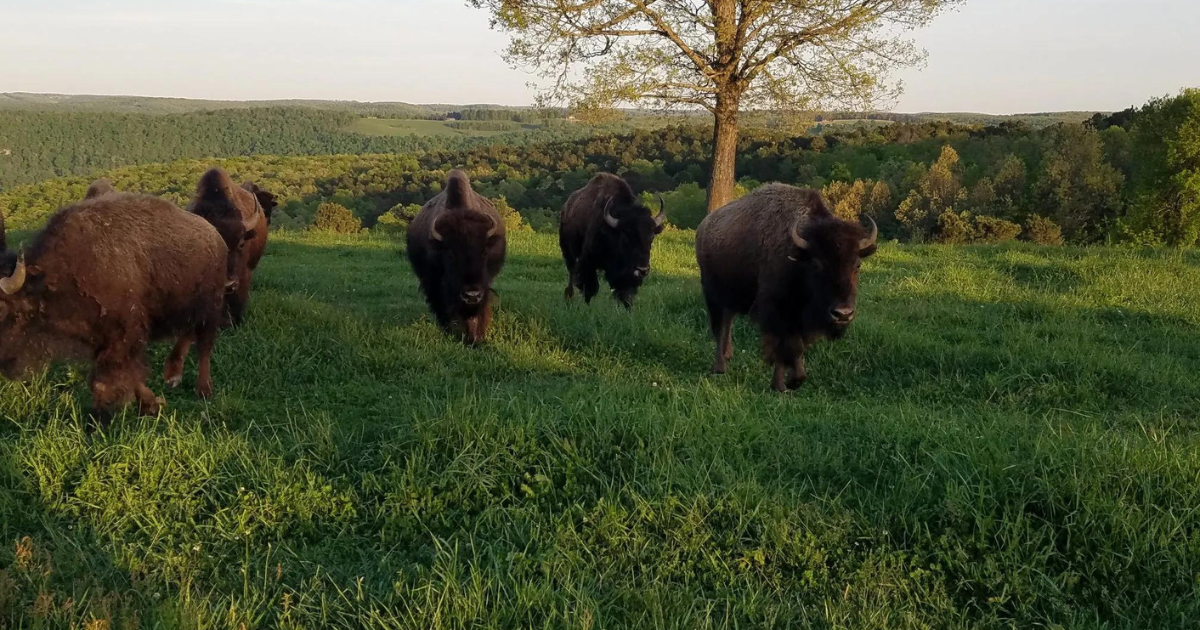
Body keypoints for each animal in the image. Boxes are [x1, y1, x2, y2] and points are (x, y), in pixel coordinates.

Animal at [0, 193, 229, 419]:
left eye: (4, 310)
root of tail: (216, 236)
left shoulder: (124, 335)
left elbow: (108, 379)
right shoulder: (101, 339)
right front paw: (152, 404)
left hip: (211, 307)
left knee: (204, 346)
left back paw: (203, 389)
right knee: (187, 335)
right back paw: (173, 375)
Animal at [406, 170, 506, 344]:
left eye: (484, 253)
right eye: (451, 254)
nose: (472, 295)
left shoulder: (484, 286)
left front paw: (475, 338)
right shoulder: (437, 282)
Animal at [559, 173, 666, 307]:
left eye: (651, 237)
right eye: (626, 237)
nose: (643, 270)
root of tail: (565, 208)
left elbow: (626, 291)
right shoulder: (588, 261)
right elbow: (589, 287)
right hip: (568, 251)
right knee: (571, 271)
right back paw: (568, 296)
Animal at [695, 184, 878, 392]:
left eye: (858, 265)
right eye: (817, 264)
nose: (843, 314)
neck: (798, 259)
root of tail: (703, 227)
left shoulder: (797, 318)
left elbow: (794, 348)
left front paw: (786, 383)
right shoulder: (777, 313)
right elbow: (786, 348)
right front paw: (786, 383)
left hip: (733, 298)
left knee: (728, 323)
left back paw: (728, 355)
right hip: (713, 295)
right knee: (719, 327)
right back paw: (719, 367)